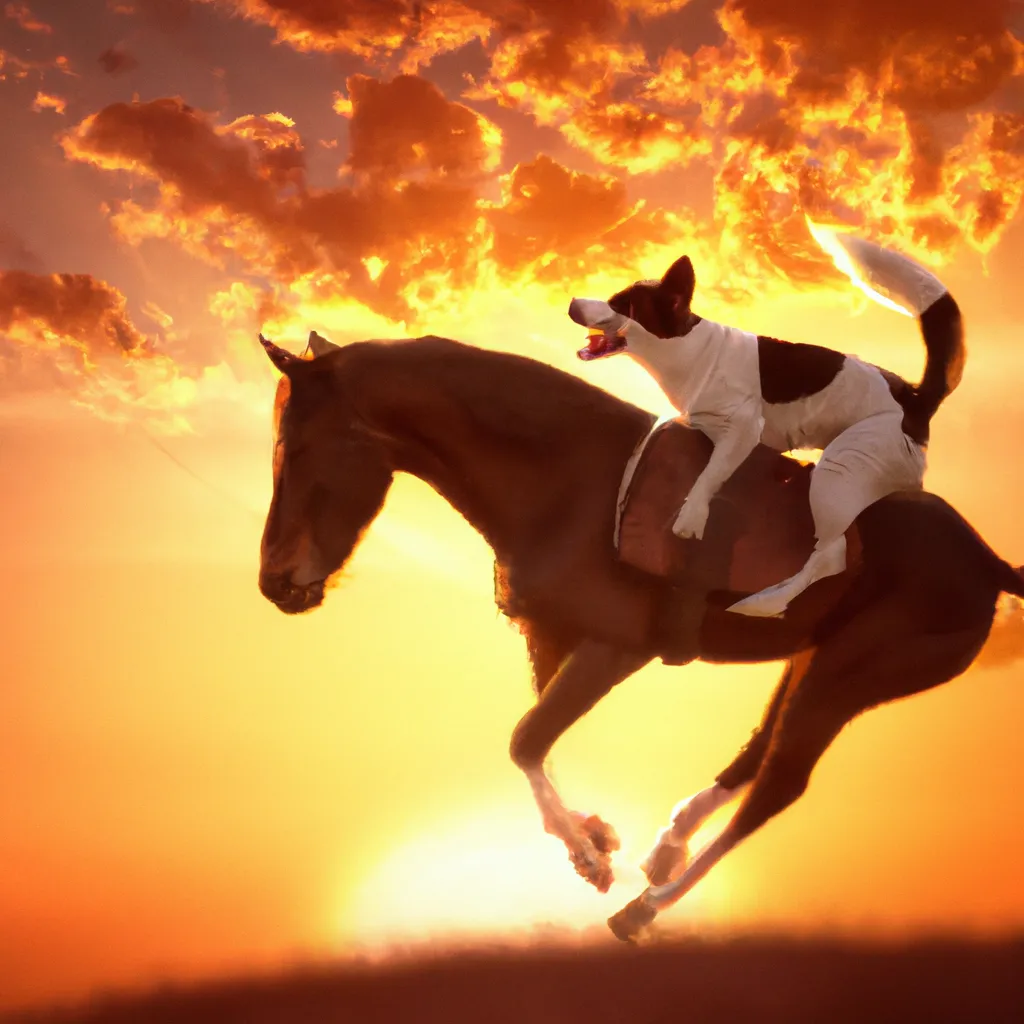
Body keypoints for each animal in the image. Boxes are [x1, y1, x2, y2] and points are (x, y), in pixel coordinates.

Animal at [256, 329, 1023, 942]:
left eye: (297, 448)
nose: (276, 584)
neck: (572, 481)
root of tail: (988, 562)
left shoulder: (614, 649)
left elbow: (526, 739)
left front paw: (593, 857)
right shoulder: (552, 641)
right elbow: (536, 745)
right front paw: (592, 839)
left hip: (849, 676)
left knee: (777, 786)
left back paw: (645, 907)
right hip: (814, 661)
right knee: (756, 754)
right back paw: (664, 852)